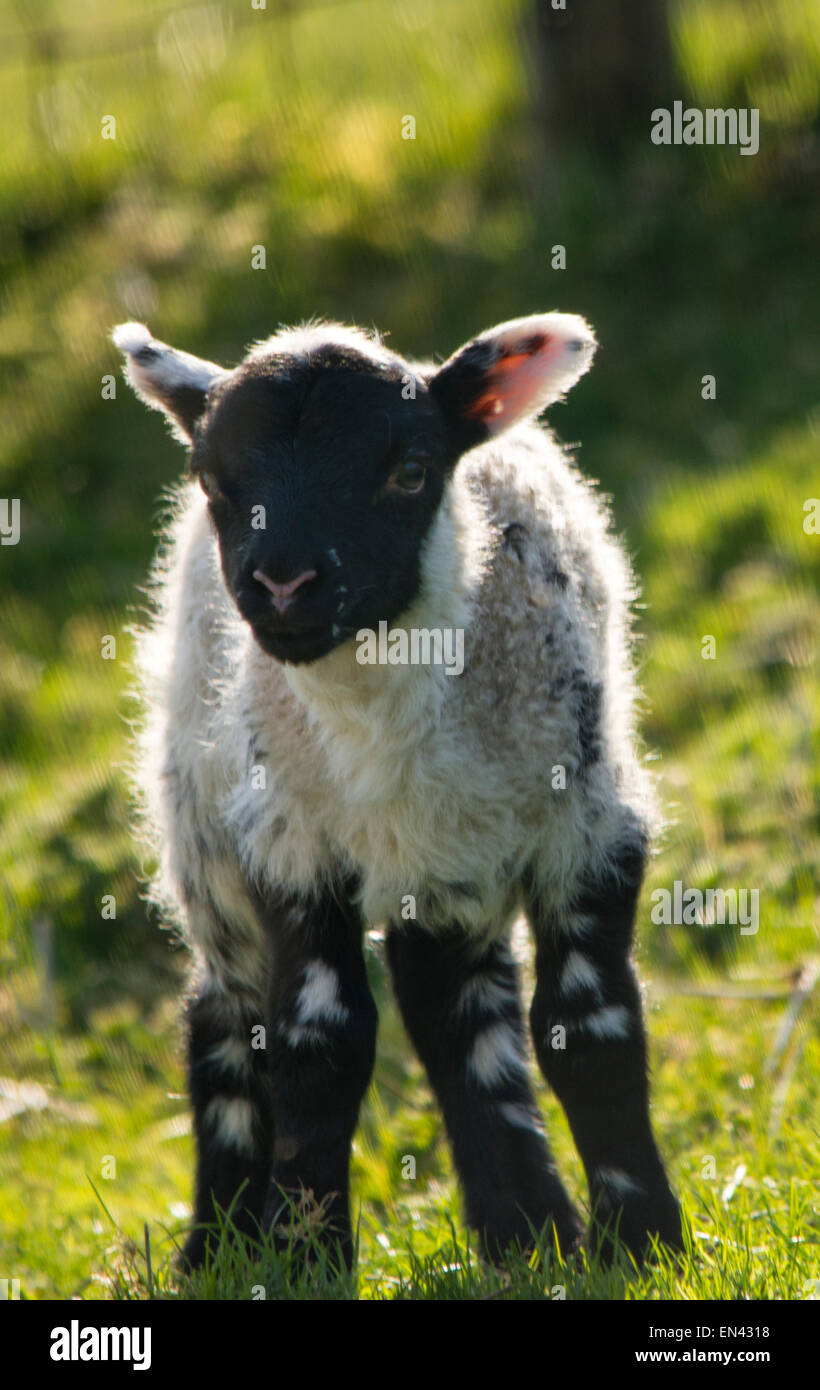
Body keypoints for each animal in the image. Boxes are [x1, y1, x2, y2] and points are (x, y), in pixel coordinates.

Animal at [113, 311, 682, 1272]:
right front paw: (304, 1257)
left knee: (454, 1008)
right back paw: (216, 1247)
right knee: (226, 1018)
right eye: (211, 479)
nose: (283, 582)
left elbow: (590, 1027)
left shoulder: (591, 831)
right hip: (203, 819)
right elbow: (318, 1044)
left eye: (410, 470)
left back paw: (523, 1235)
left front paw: (642, 1243)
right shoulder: (289, 844)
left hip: (448, 859)